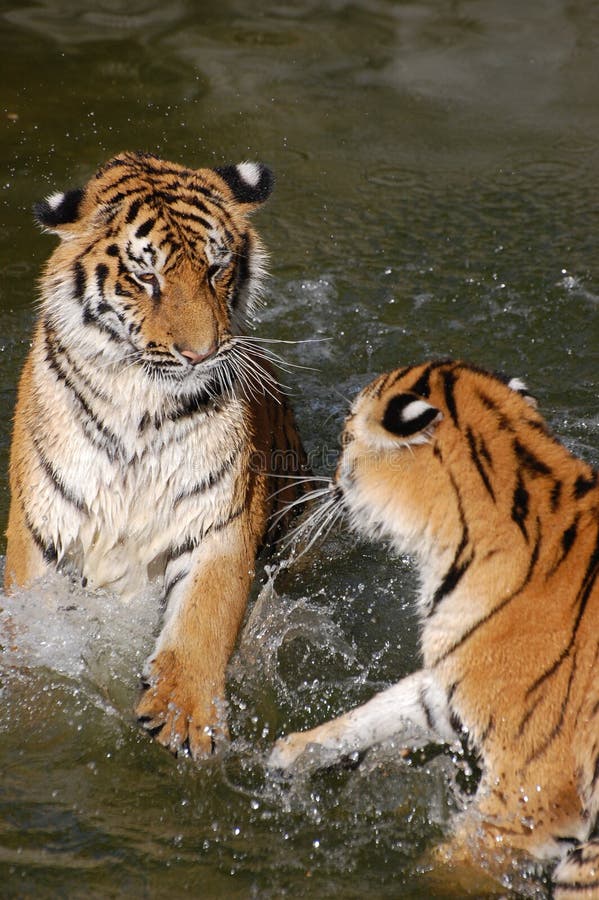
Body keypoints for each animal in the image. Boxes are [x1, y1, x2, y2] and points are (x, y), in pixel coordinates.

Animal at [4, 150, 312, 759]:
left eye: (216, 269)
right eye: (146, 277)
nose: (201, 354)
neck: (140, 410)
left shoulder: (220, 520)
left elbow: (204, 619)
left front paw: (185, 714)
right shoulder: (44, 529)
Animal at [269, 359, 599, 897]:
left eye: (345, 437)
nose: (331, 476)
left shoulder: (535, 790)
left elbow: (453, 864)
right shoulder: (457, 683)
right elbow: (383, 708)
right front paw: (291, 752)